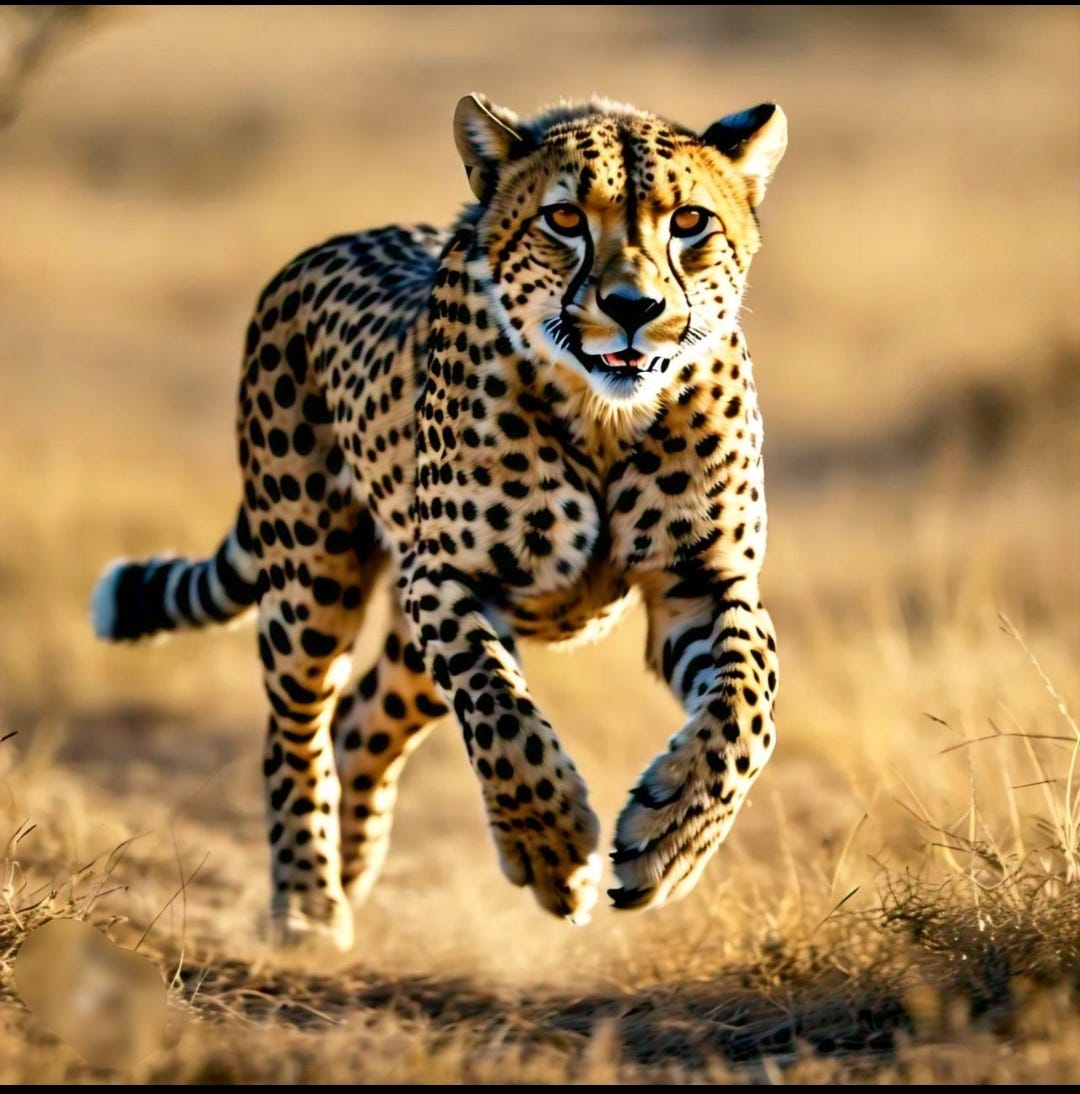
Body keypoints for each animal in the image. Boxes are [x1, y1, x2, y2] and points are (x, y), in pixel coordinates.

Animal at [91, 93, 787, 951]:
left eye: (690, 220)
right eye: (564, 218)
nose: (633, 309)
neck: (604, 416)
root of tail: (312, 256)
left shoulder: (705, 581)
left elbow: (747, 707)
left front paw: (672, 839)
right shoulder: (452, 578)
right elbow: (499, 712)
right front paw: (553, 849)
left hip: (405, 648)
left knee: (360, 720)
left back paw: (352, 866)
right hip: (313, 584)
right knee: (297, 729)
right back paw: (308, 903)